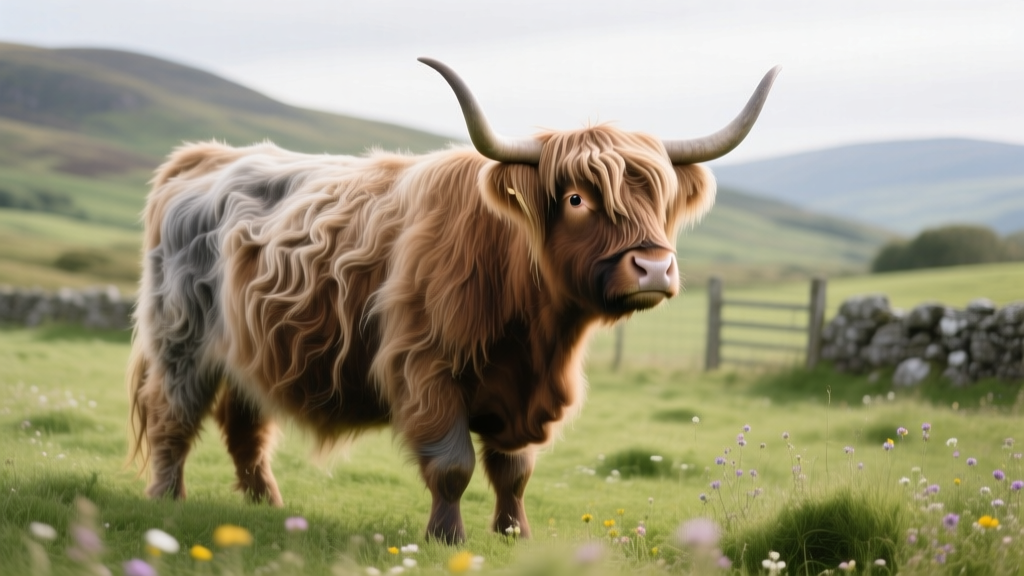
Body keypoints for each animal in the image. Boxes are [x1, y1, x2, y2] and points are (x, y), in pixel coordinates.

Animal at [127, 58, 778, 543]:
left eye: (661, 198)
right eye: (575, 198)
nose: (653, 267)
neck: (534, 332)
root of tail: (204, 156)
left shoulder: (525, 393)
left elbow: (514, 470)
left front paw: (514, 532)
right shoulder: (427, 369)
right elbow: (453, 464)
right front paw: (448, 537)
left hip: (249, 351)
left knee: (245, 427)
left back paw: (266, 505)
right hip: (181, 340)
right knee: (172, 416)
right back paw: (166, 499)